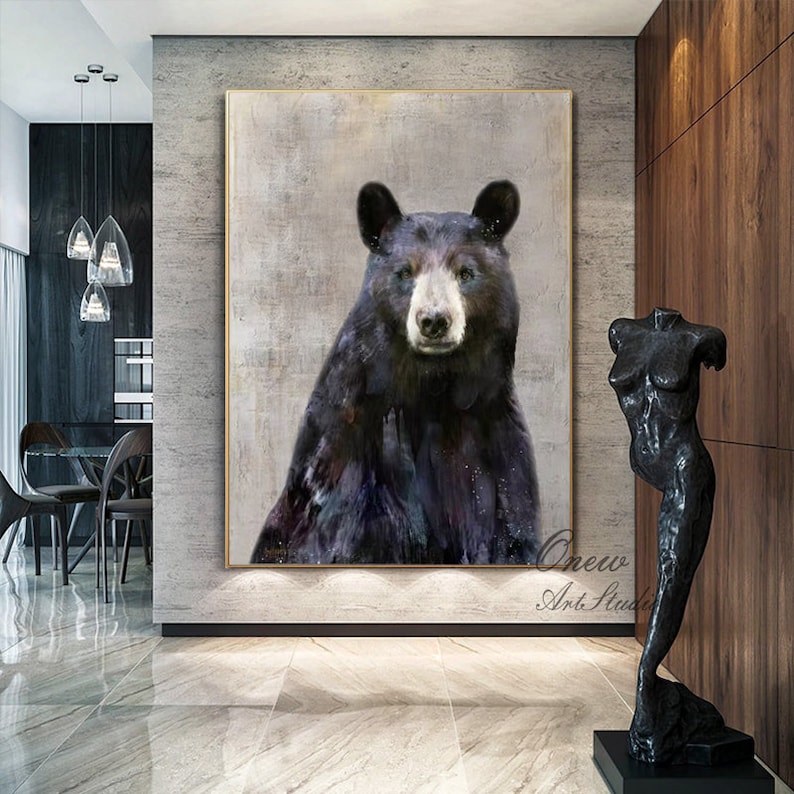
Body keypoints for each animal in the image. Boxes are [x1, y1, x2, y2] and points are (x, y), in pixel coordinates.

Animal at [251, 180, 540, 565]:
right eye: (405, 272)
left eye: (465, 273)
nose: (434, 320)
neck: (433, 389)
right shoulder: (343, 450)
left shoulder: (498, 446)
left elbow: (510, 531)